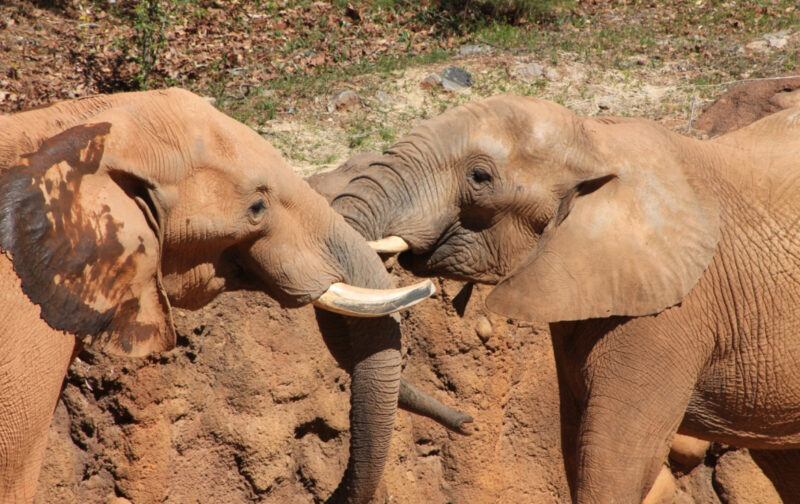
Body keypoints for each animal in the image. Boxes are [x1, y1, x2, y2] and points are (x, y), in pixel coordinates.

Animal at [311, 94, 800, 503]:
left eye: (479, 177)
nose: (467, 424)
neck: (597, 139)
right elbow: (574, 446)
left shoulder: (672, 312)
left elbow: (612, 464)